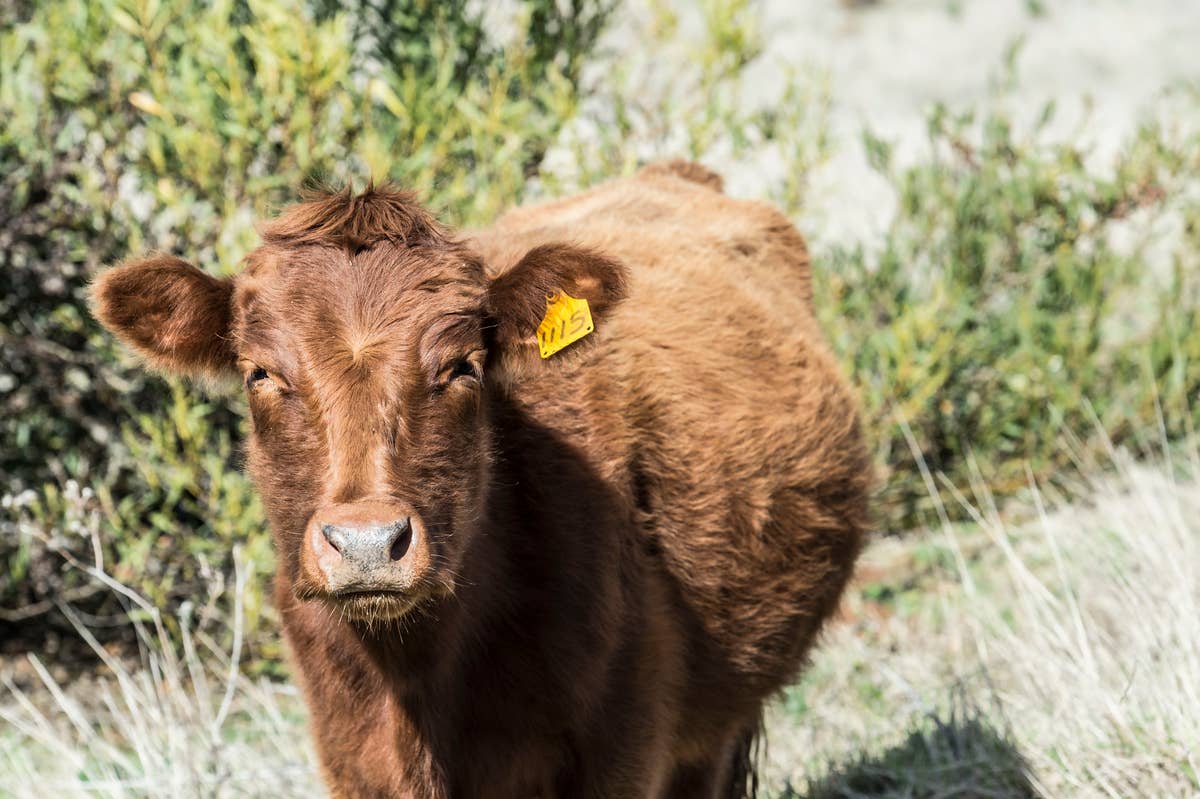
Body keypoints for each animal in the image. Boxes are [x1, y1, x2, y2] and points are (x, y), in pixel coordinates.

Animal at [91, 161, 872, 798]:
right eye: (260, 373)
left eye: (462, 366)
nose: (368, 544)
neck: (423, 672)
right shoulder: (351, 757)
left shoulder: (623, 748)